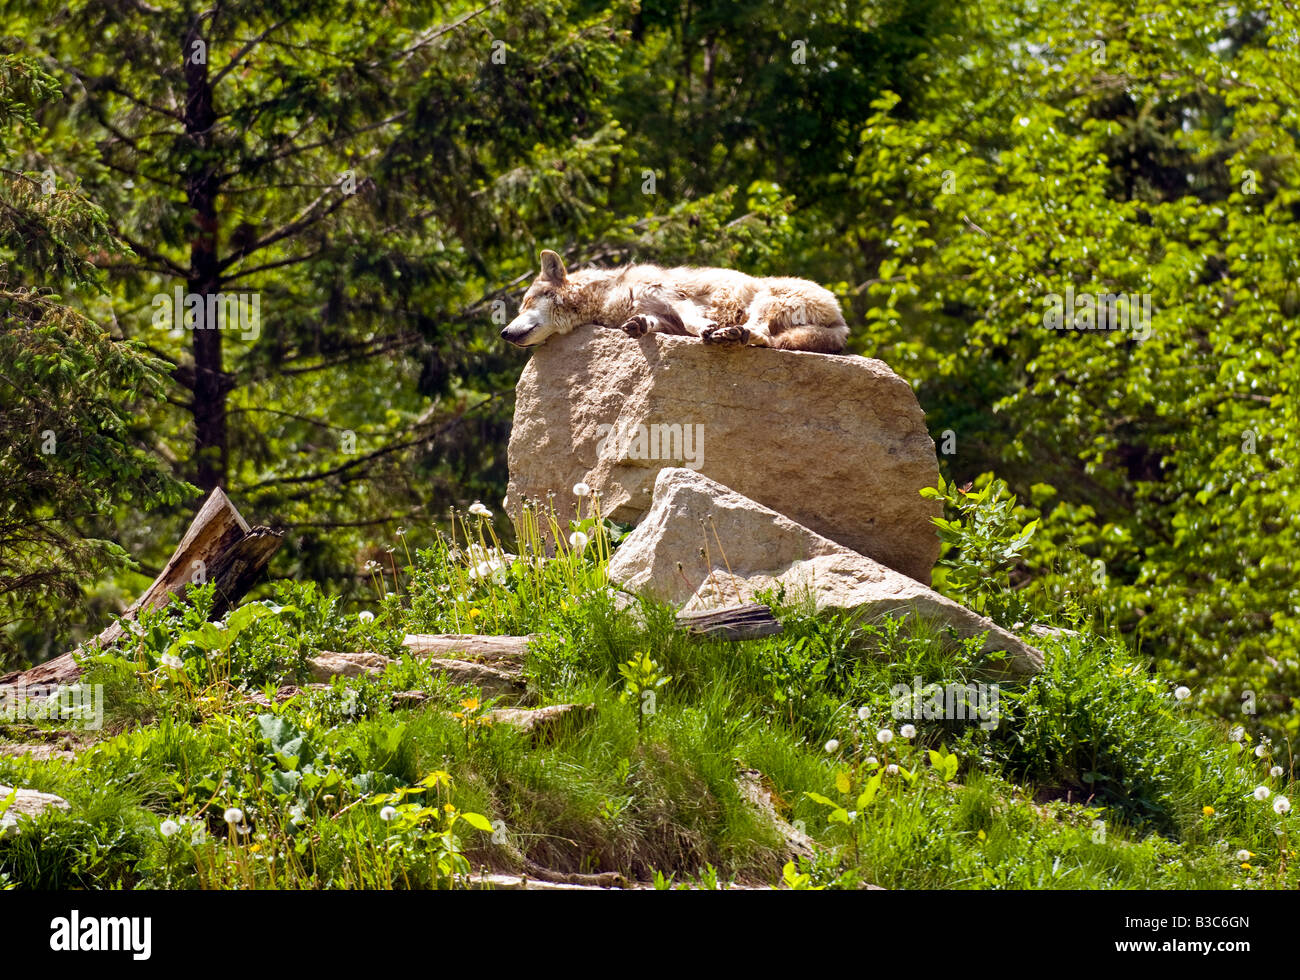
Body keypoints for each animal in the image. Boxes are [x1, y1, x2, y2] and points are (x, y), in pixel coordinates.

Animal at [500, 250, 849, 353]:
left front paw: (708, 329)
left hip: (766, 297)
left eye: (526, 303)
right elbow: (654, 323)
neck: (607, 295)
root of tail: (842, 322)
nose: (503, 333)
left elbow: (694, 322)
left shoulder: (671, 296)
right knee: (770, 339)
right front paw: (639, 325)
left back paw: (732, 333)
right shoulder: (665, 317)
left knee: (760, 333)